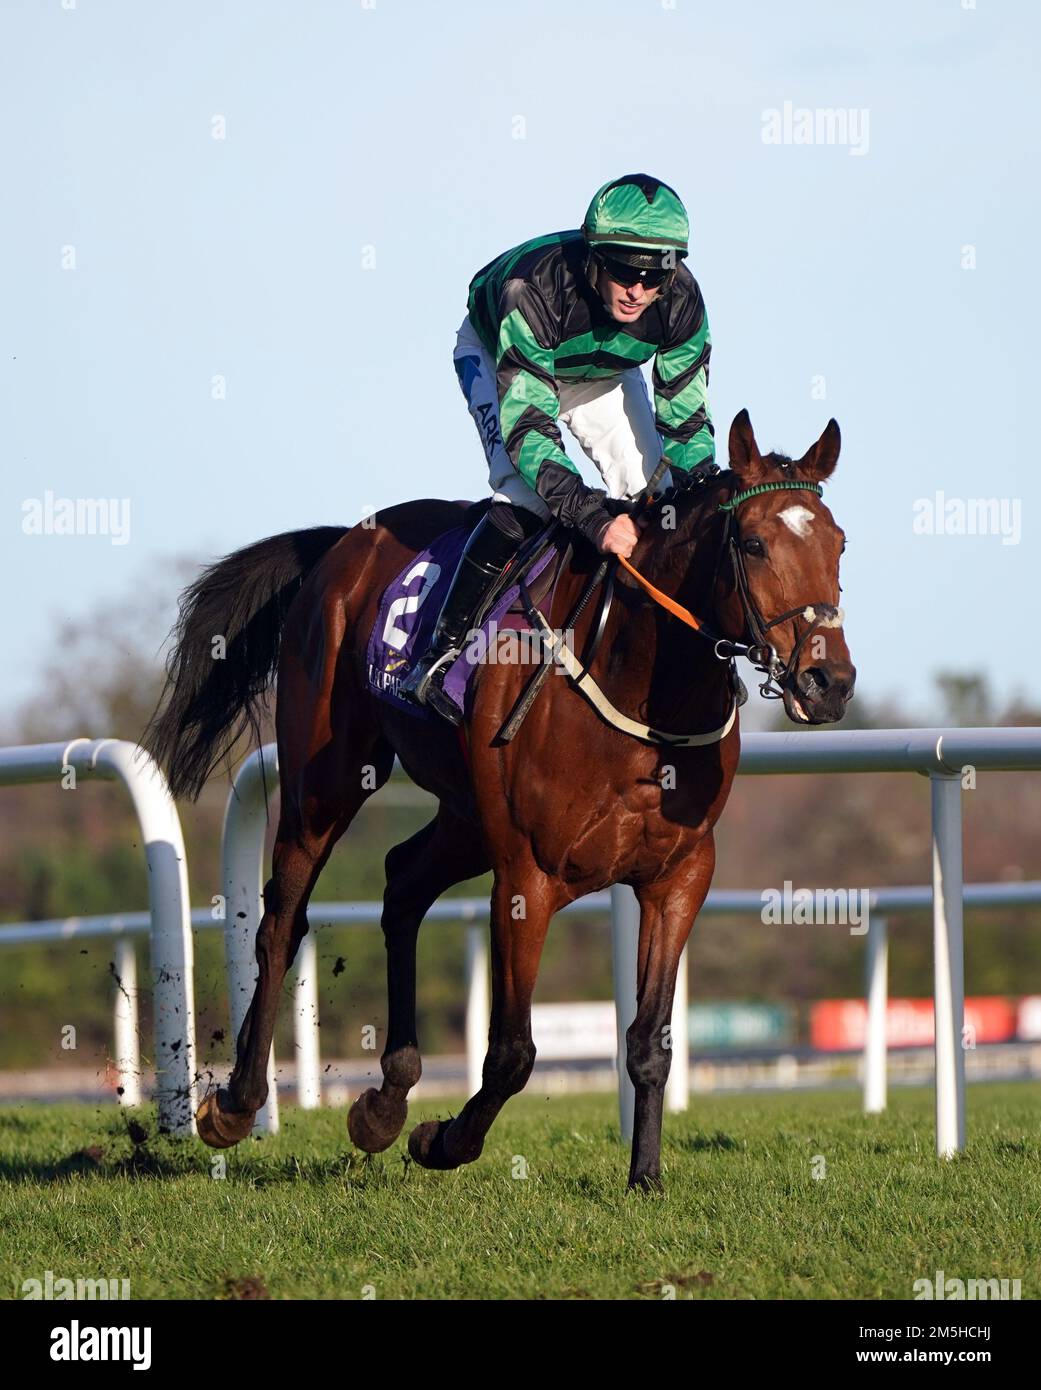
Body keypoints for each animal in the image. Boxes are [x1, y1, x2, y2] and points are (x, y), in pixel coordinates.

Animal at [144, 409, 854, 1191]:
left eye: (838, 543)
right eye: (754, 544)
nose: (828, 682)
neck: (636, 683)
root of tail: (340, 545)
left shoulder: (679, 876)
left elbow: (650, 1041)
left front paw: (644, 1177)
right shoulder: (526, 875)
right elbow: (512, 1052)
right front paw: (443, 1141)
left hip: (466, 816)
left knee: (402, 881)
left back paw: (385, 1100)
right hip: (326, 779)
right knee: (282, 920)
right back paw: (237, 1104)